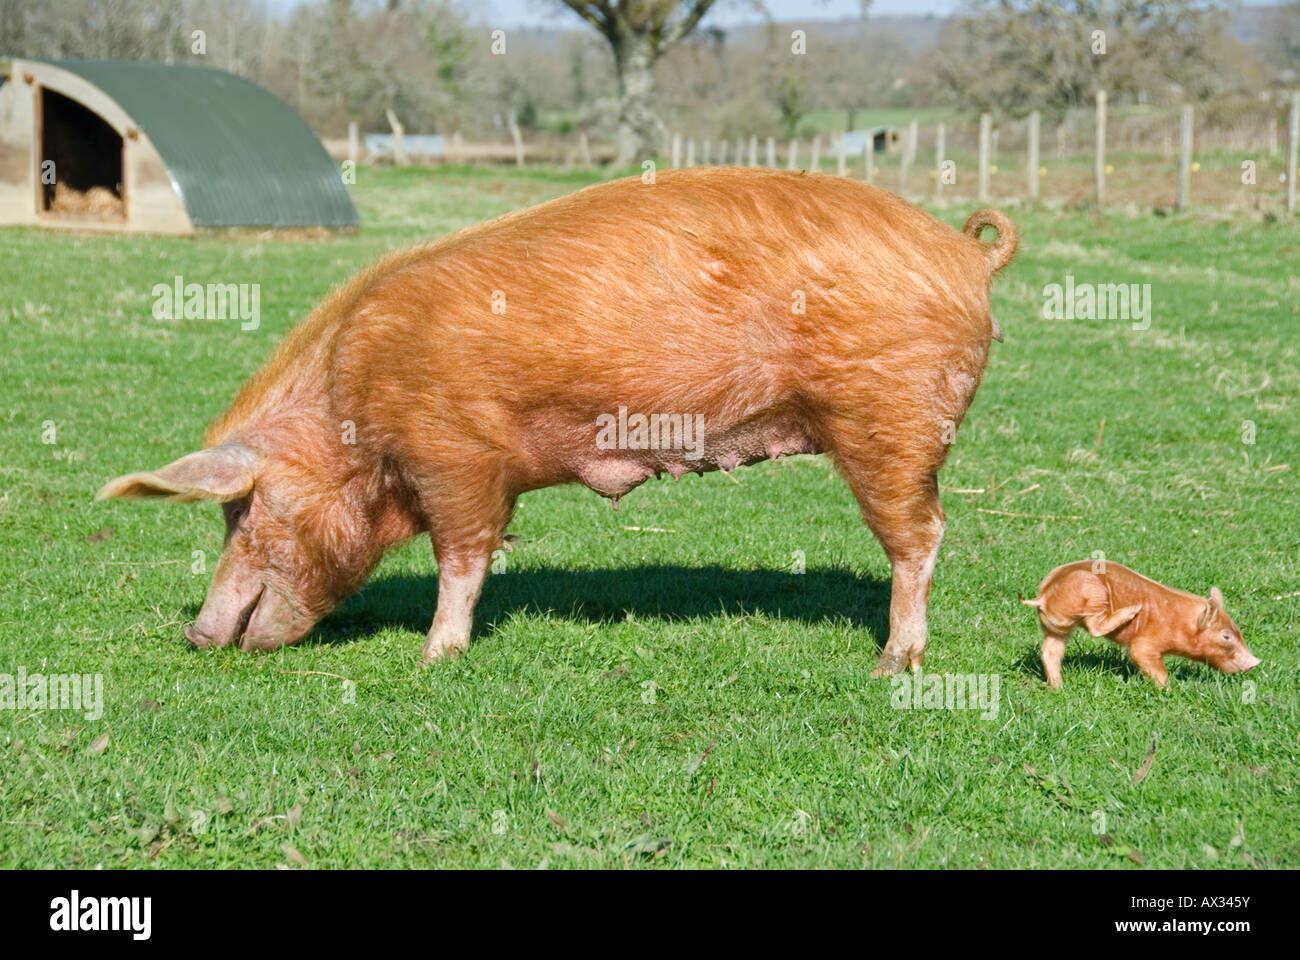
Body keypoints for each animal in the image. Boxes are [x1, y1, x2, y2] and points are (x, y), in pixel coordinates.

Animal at [97, 168, 1017, 673]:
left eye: (241, 511)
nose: (195, 635)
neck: (352, 409)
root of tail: (967, 253)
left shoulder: (456, 456)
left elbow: (462, 559)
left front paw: (434, 655)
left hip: (887, 420)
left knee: (922, 535)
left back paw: (892, 664)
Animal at [1022, 561, 1259, 688]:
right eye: (1226, 636)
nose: (1255, 662)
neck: (1179, 623)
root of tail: (1044, 595)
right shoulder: (1147, 643)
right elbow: (1143, 657)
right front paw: (1168, 690)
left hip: (1056, 627)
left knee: (1050, 652)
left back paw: (1059, 687)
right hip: (1093, 592)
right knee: (1095, 628)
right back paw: (1132, 610)